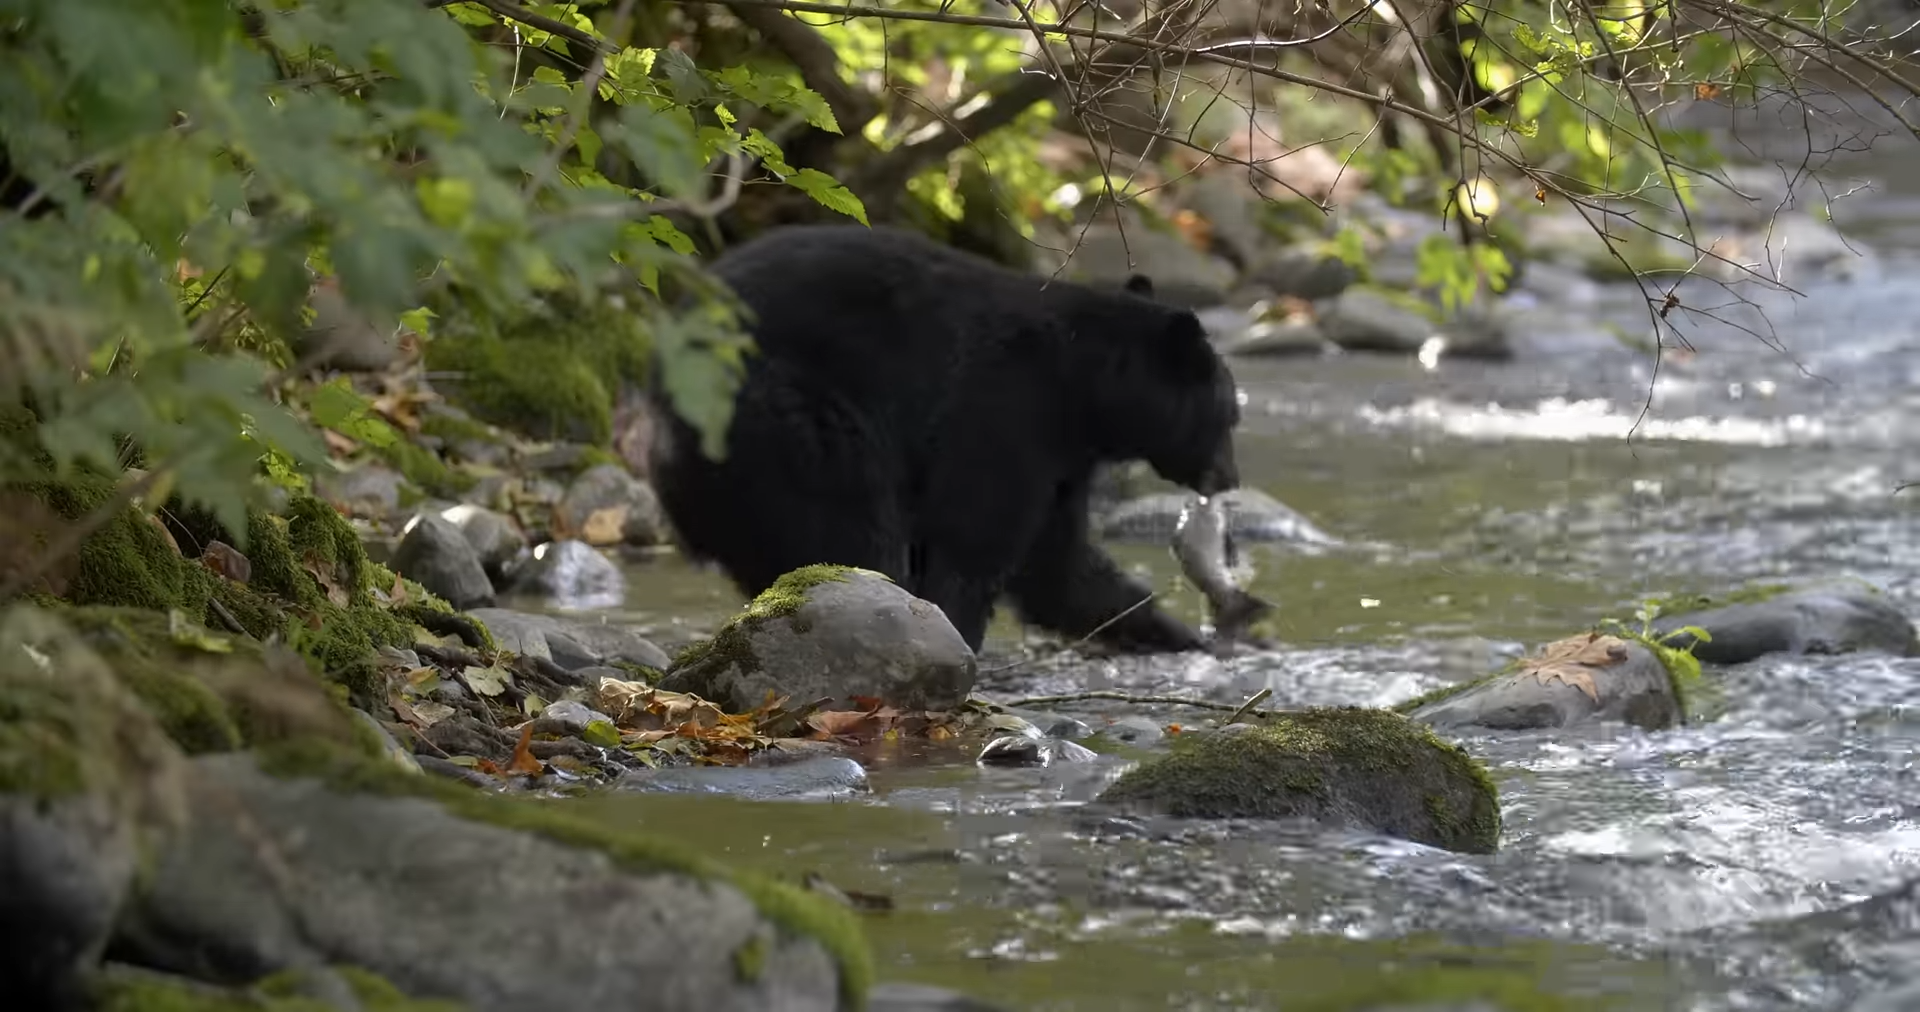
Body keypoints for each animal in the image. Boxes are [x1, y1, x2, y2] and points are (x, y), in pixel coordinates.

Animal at [646, 223, 1243, 655]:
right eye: (1231, 415)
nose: (1229, 477)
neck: (1083, 390)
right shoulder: (1005, 409)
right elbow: (972, 538)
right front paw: (955, 633)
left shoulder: (1062, 459)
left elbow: (1058, 566)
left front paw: (1179, 632)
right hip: (784, 424)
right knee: (851, 527)